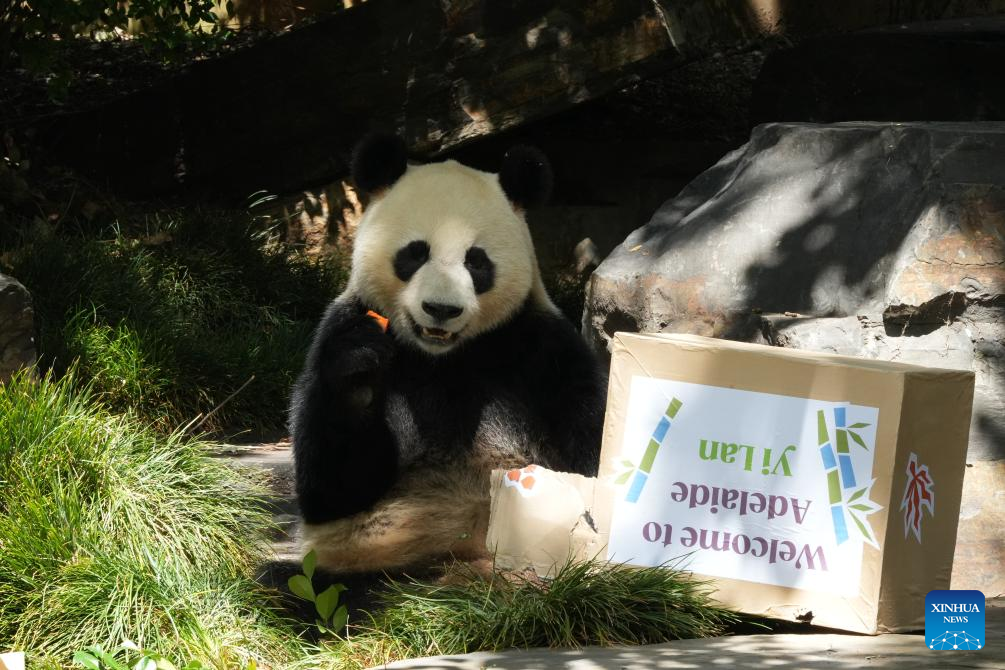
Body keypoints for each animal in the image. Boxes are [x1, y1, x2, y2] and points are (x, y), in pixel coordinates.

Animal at [289, 134, 607, 573]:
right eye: (415, 253)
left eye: (476, 261)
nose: (441, 309)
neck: (443, 356)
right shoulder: (340, 326)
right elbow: (332, 490)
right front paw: (360, 373)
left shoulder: (537, 345)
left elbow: (589, 441)